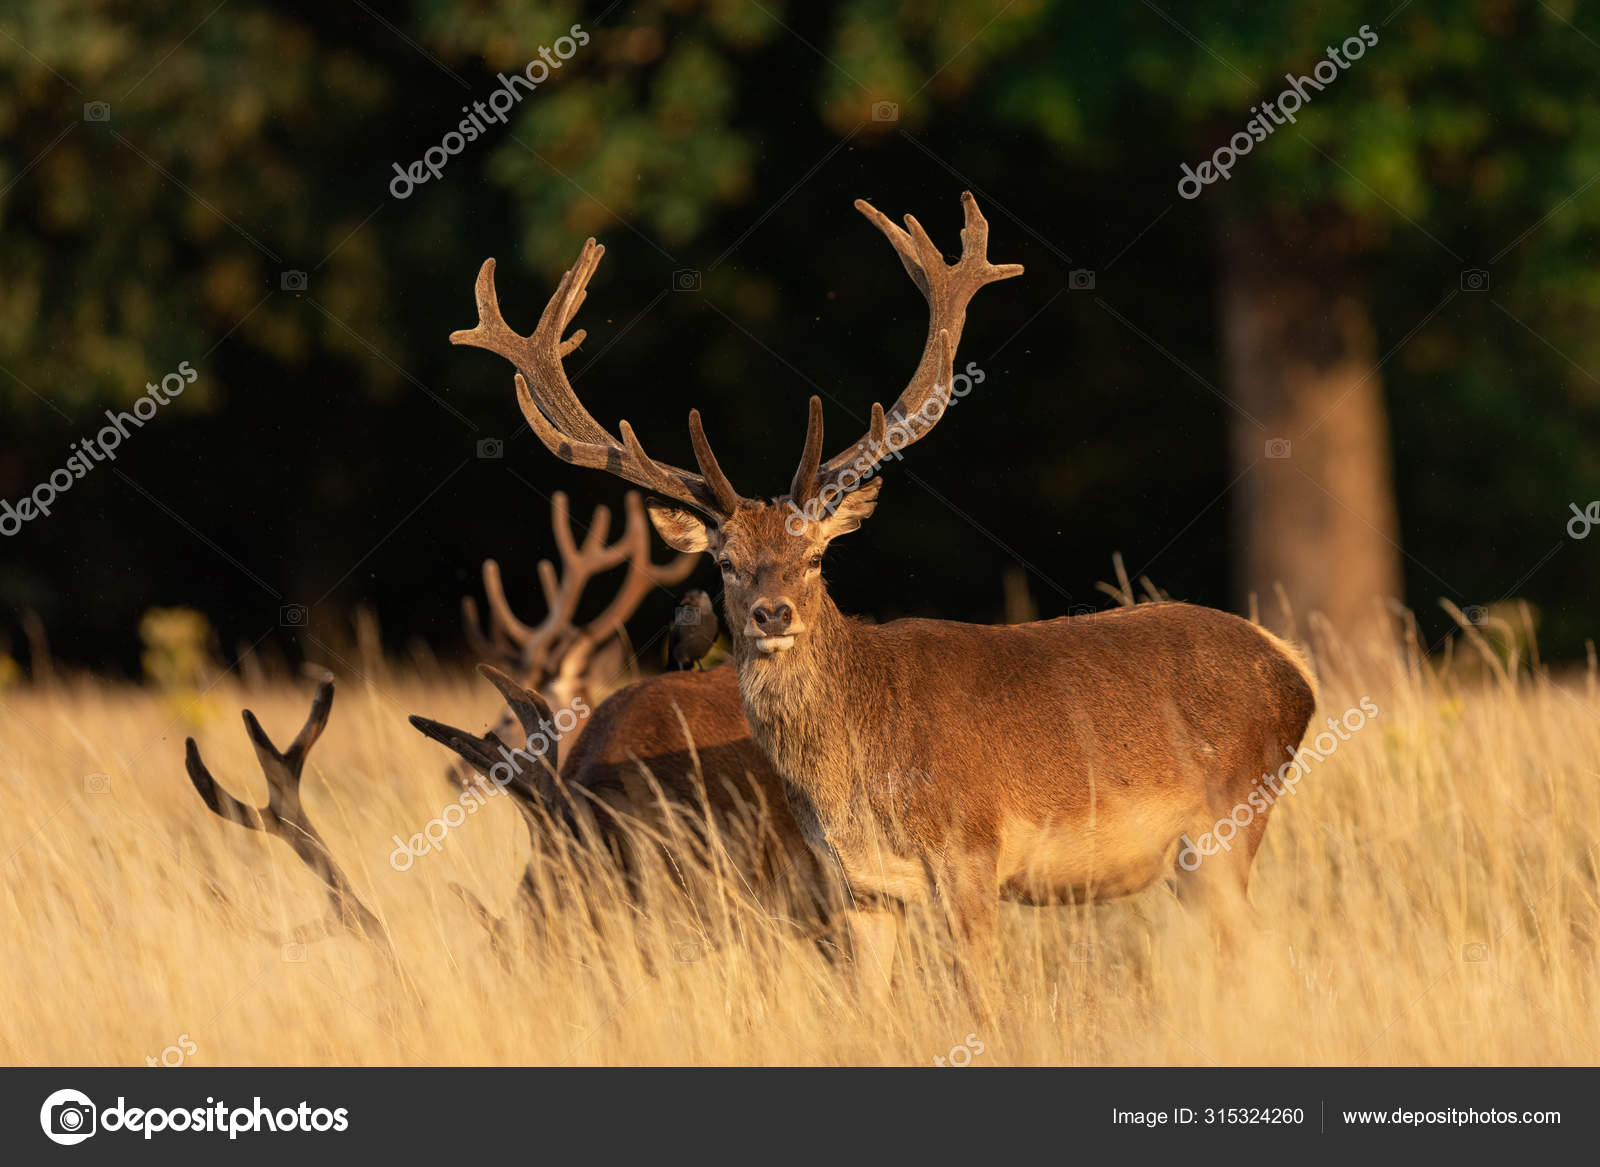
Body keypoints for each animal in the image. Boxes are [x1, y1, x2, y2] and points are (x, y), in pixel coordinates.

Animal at [451, 189, 1320, 997]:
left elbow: (983, 1003)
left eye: (815, 557)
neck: (858, 768)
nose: (772, 612)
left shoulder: (972, 850)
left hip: (1226, 822)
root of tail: (1296, 671)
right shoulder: (861, 889)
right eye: (726, 562)